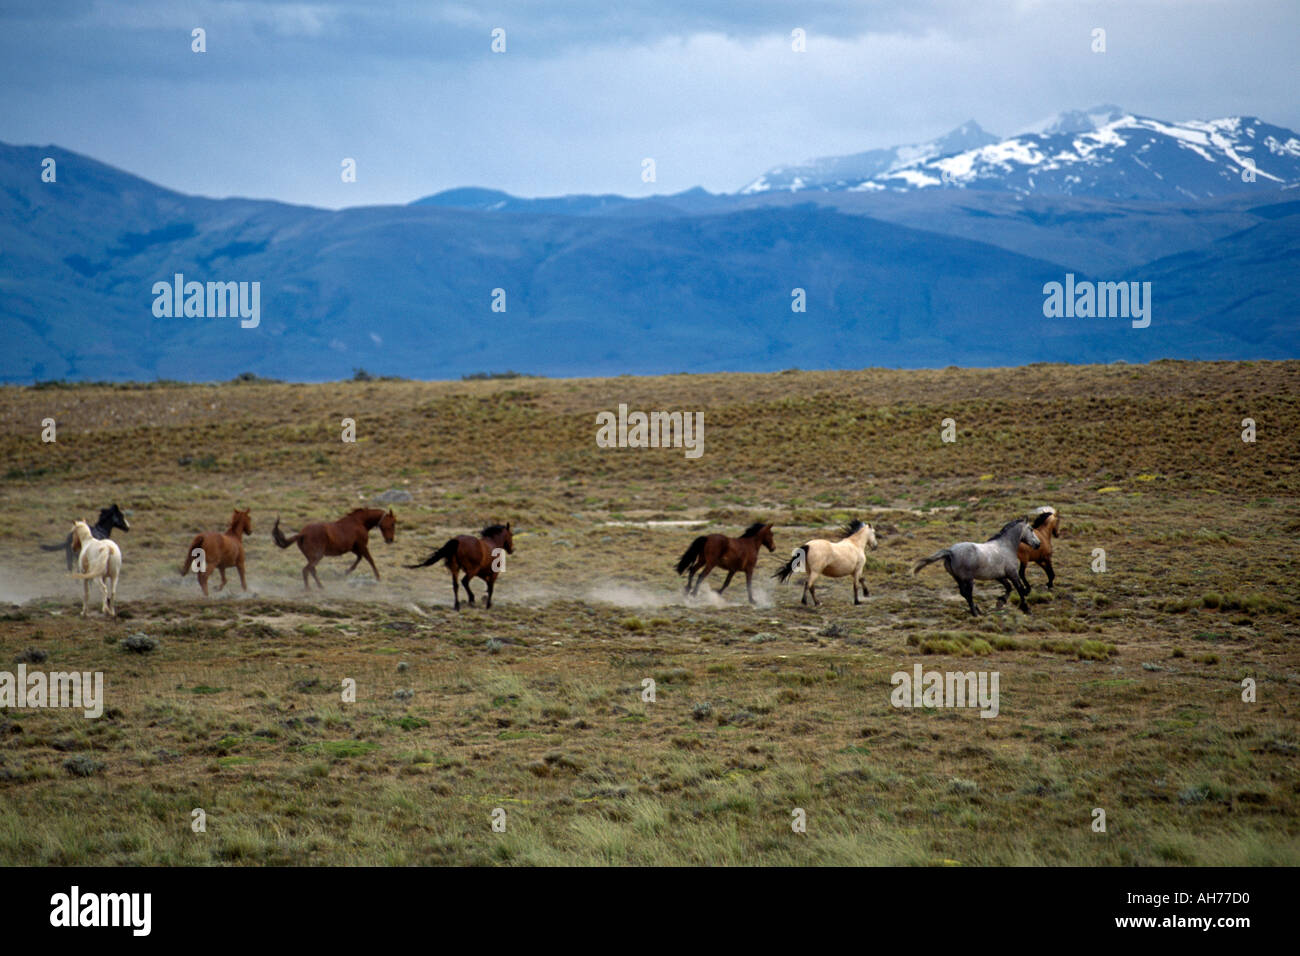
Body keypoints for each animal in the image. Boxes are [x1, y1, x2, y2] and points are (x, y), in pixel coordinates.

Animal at [912, 519, 1042, 616]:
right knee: (968, 594)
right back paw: (975, 613)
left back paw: (977, 609)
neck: (1005, 546)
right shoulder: (1012, 573)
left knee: (963, 593)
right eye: (1031, 529)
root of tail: (951, 552)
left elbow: (1008, 587)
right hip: (969, 579)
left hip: (958, 579)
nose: (1038, 544)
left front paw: (1000, 602)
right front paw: (1027, 609)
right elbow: (1019, 589)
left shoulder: (999, 576)